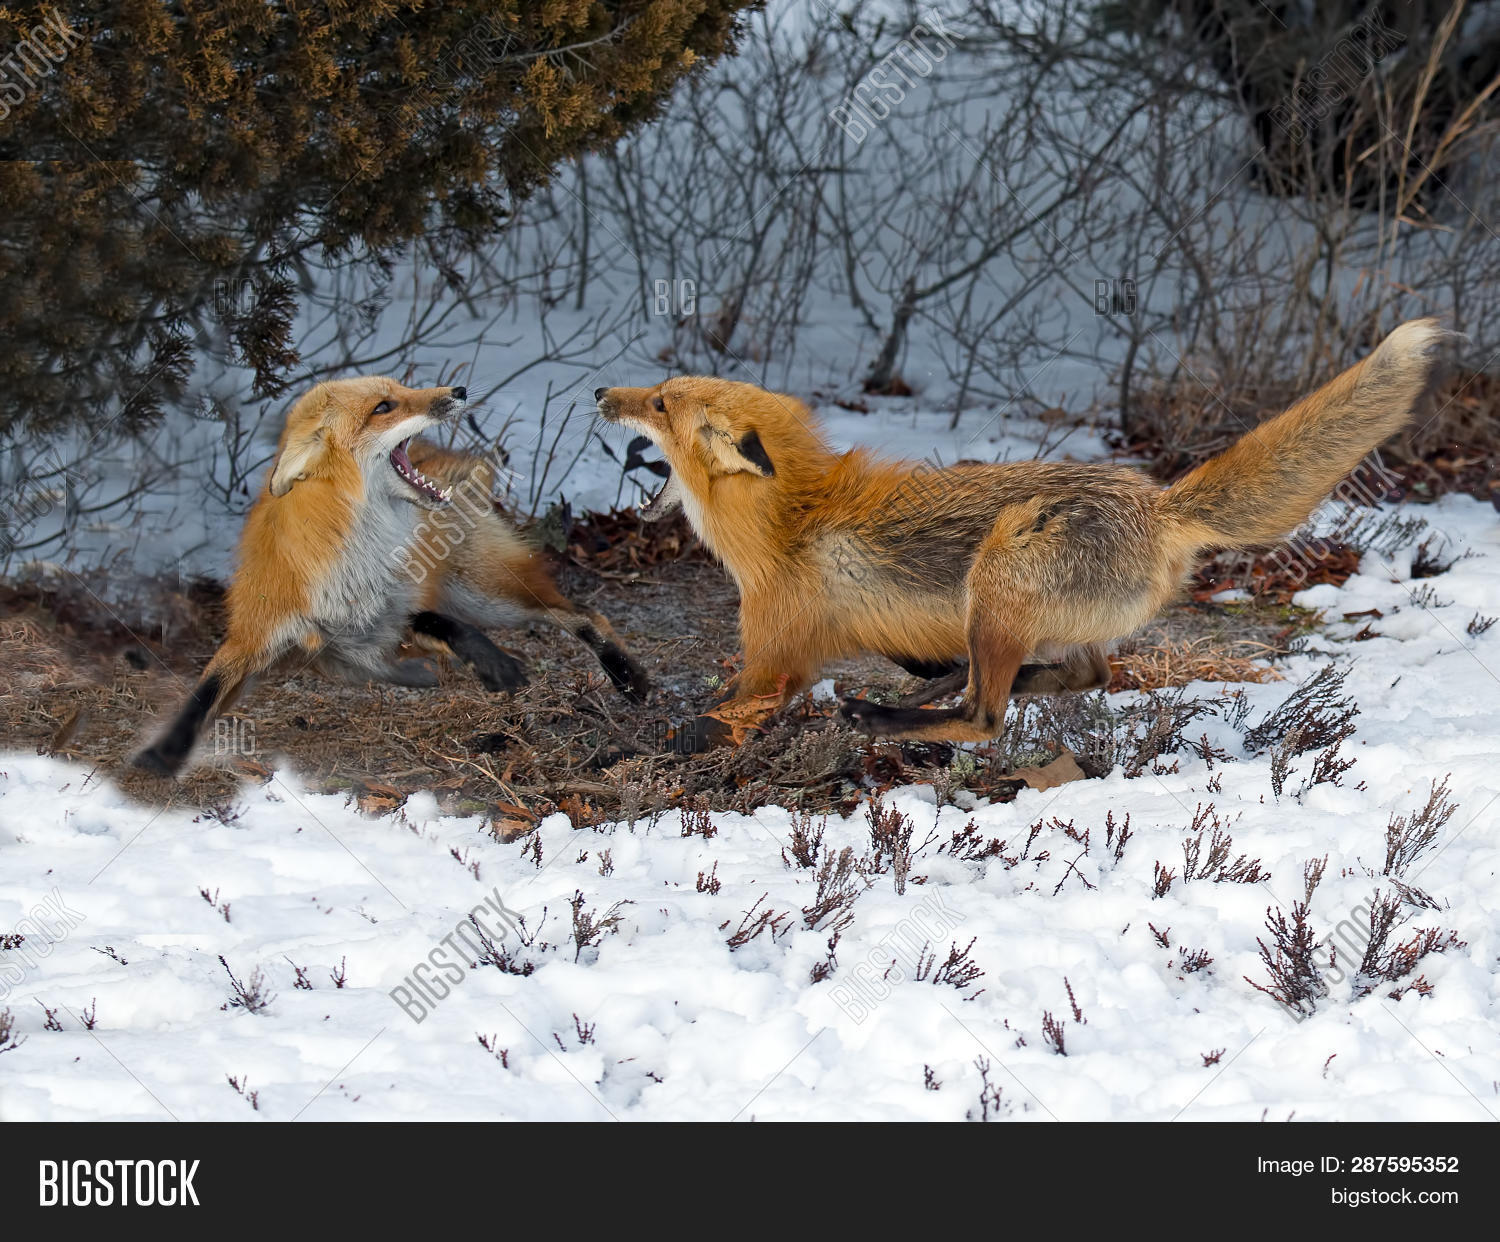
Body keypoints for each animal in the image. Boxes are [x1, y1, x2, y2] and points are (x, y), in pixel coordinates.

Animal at [133, 376, 647, 777]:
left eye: (402, 388)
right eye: (383, 407)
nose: (459, 390)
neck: (353, 558)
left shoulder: (397, 611)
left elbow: (435, 622)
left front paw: (492, 663)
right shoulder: (257, 634)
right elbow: (203, 694)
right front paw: (161, 756)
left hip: (489, 597)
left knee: (581, 613)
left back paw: (627, 676)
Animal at [597, 319, 1450, 748]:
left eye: (662, 402)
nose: (604, 393)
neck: (789, 525)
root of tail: (1157, 503)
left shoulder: (775, 655)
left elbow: (714, 713)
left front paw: (654, 739)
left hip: (999, 574)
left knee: (985, 717)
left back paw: (889, 717)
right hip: (1031, 614)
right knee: (1083, 677)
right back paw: (950, 687)